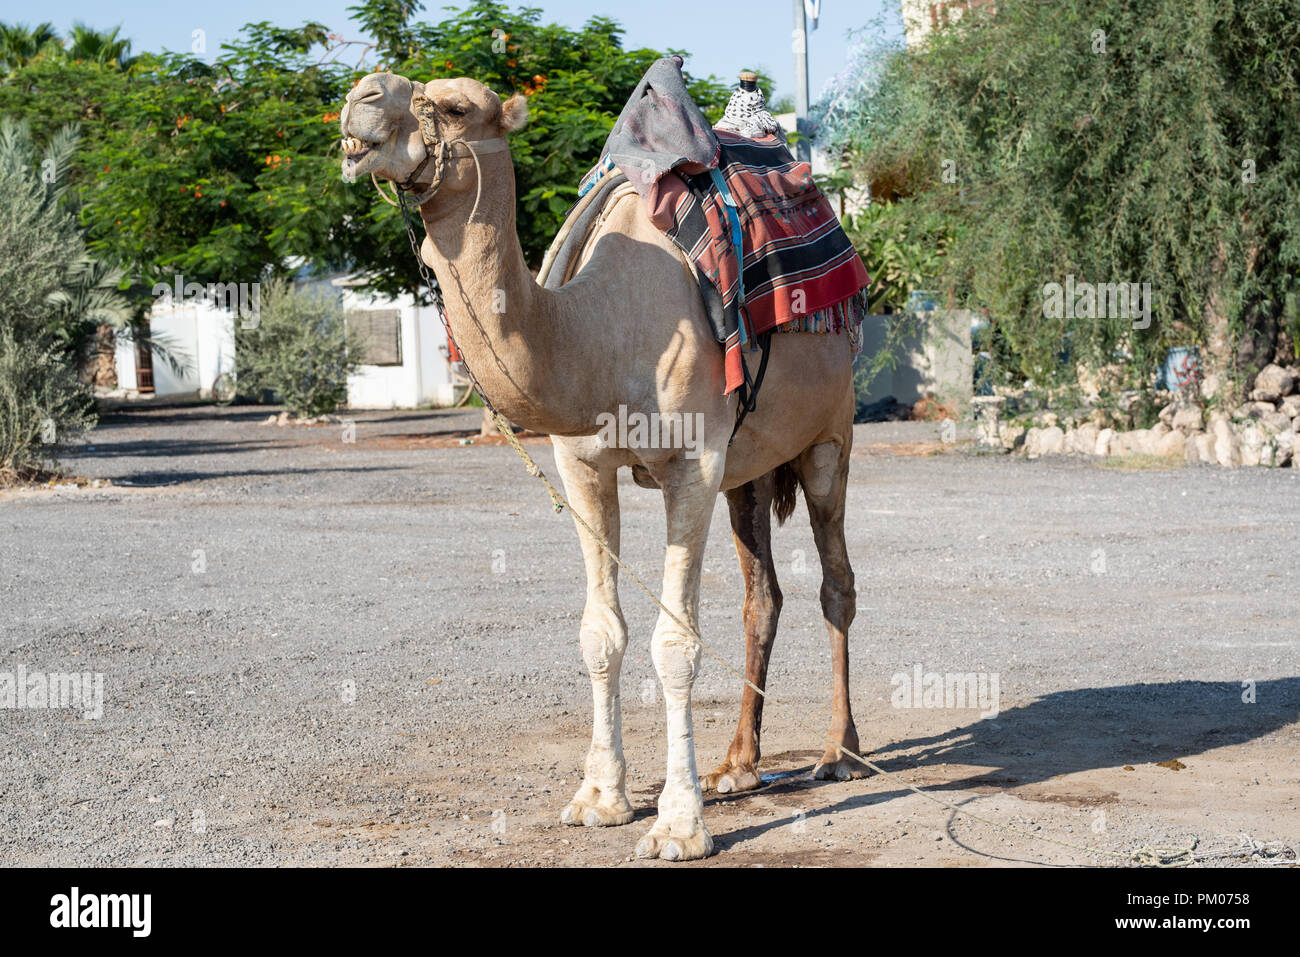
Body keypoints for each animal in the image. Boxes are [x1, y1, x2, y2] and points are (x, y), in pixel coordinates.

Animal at [340, 73, 867, 861]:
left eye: (457, 106)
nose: (361, 99)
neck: (594, 332)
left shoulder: (693, 460)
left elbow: (674, 642)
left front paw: (677, 827)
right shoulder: (582, 461)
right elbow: (601, 632)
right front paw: (599, 798)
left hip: (830, 433)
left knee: (837, 582)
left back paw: (840, 753)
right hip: (749, 468)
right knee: (762, 597)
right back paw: (738, 764)